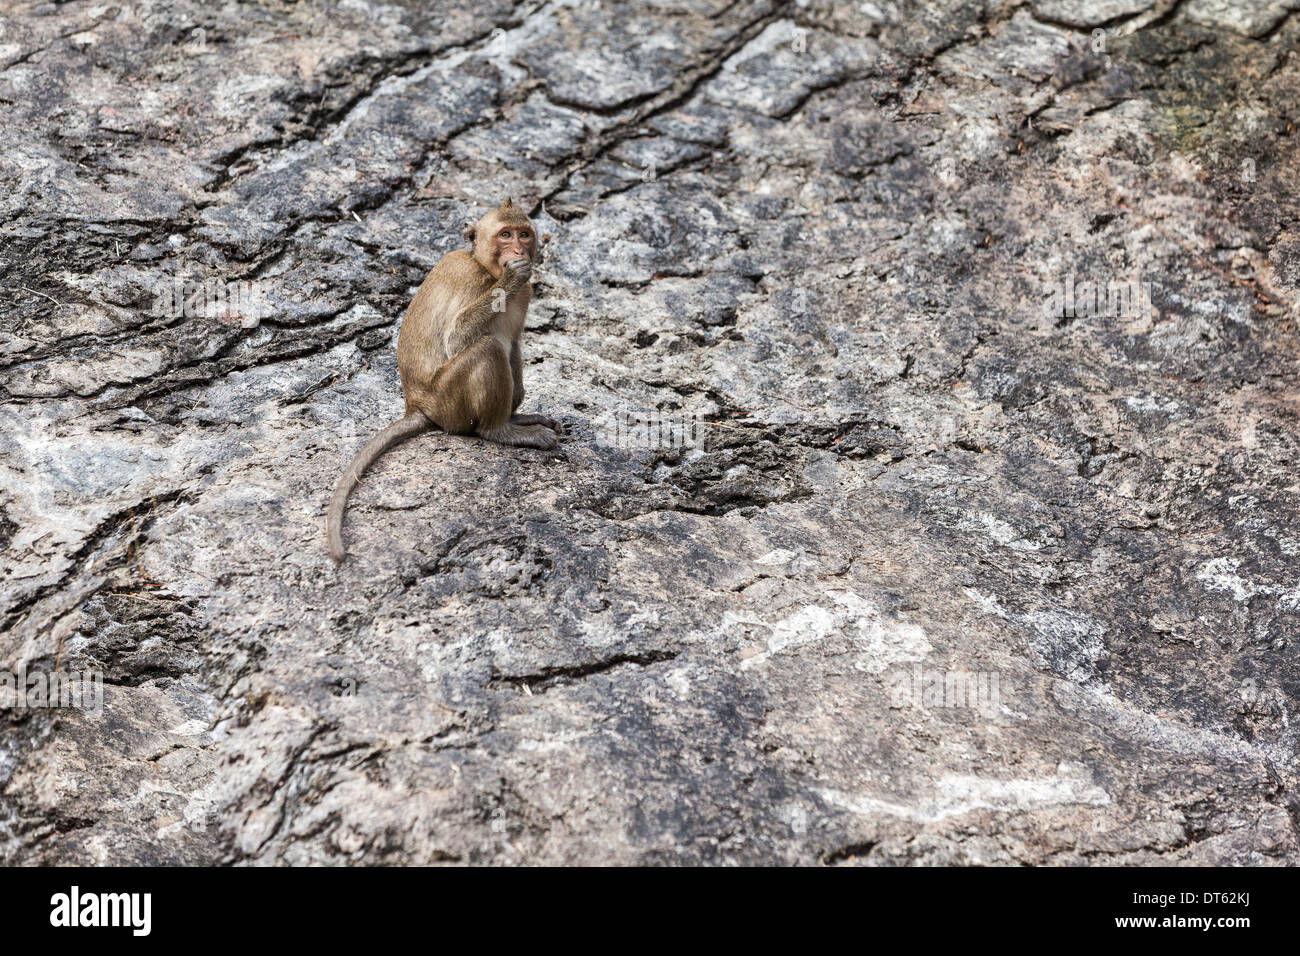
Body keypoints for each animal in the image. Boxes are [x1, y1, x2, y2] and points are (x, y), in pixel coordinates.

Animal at [327, 198, 560, 564]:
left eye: (523, 234)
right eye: (505, 235)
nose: (519, 249)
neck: (484, 267)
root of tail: (417, 405)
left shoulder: (526, 293)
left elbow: (515, 341)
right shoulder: (469, 278)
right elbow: (457, 338)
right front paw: (510, 277)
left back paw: (514, 418)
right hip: (449, 401)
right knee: (488, 348)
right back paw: (501, 430)